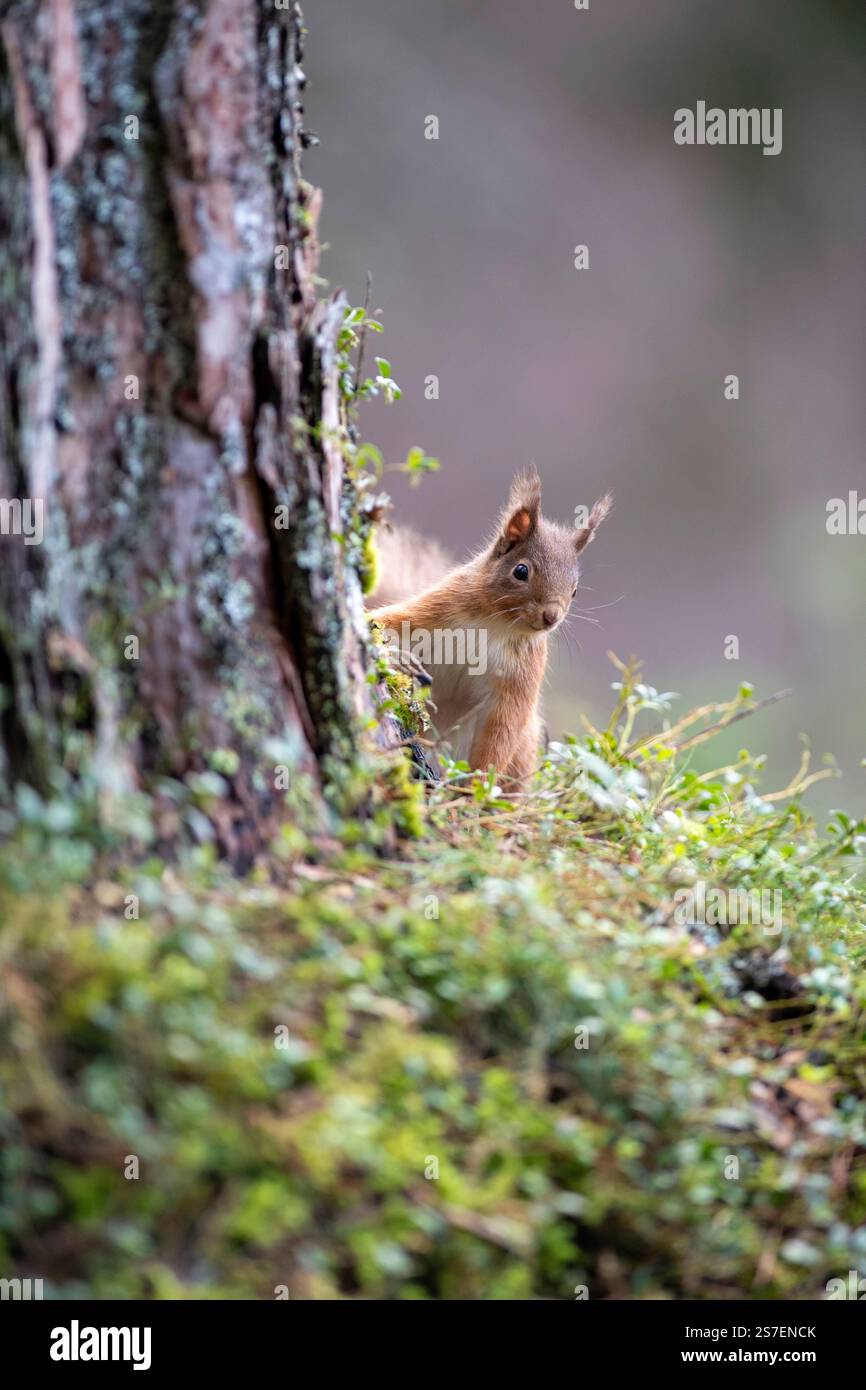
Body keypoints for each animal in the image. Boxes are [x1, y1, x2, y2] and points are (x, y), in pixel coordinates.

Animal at [368, 467, 611, 789]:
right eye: (521, 571)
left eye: (575, 591)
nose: (551, 617)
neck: (497, 625)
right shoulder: (436, 610)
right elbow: (388, 621)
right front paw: (395, 654)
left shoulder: (519, 676)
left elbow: (502, 728)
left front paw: (478, 787)